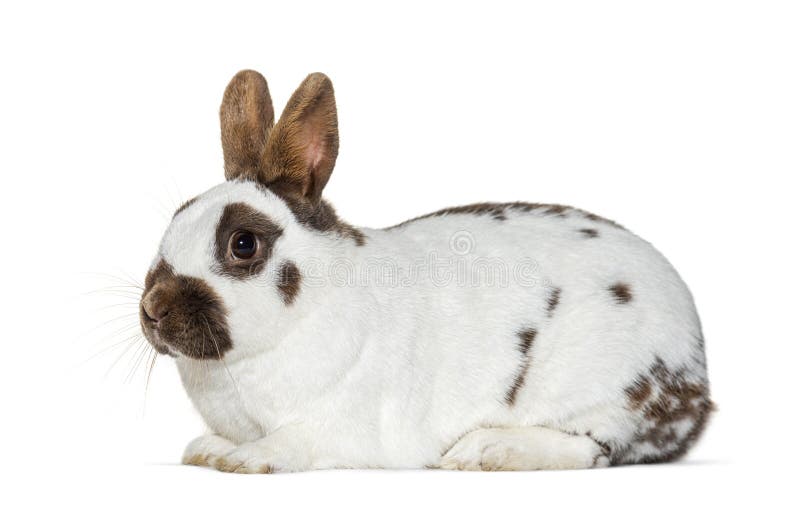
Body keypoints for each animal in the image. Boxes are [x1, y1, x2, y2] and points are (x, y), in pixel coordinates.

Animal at [139, 69, 712, 473]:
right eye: (176, 218)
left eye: (243, 244)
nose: (152, 310)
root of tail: (699, 373)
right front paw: (207, 450)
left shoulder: (334, 425)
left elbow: (292, 441)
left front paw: (244, 460)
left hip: (602, 393)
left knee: (595, 448)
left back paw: (485, 450)